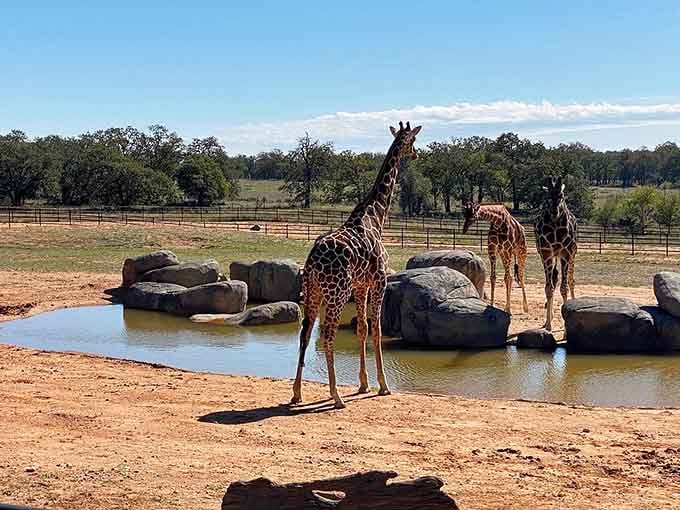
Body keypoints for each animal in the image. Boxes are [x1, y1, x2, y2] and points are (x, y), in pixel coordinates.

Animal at [291, 121, 422, 409]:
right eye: (412, 141)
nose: (416, 155)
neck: (376, 215)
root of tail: (312, 261)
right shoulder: (379, 280)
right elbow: (378, 329)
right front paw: (383, 386)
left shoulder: (361, 286)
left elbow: (362, 328)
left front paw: (363, 384)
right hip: (336, 293)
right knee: (327, 335)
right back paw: (336, 396)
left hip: (313, 292)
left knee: (305, 333)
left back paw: (296, 393)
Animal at [534, 175, 578, 331]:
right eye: (548, 195)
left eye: (561, 195)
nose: (554, 212)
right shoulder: (546, 252)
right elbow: (549, 287)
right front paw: (548, 324)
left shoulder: (566, 252)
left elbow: (564, 287)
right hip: (550, 255)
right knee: (554, 279)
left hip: (572, 254)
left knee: (571, 280)